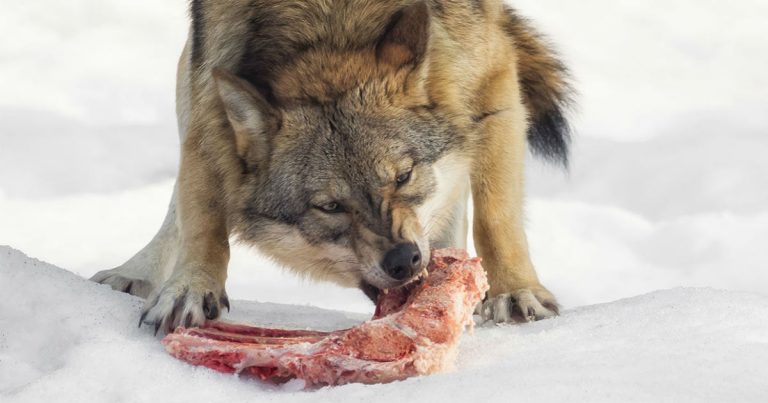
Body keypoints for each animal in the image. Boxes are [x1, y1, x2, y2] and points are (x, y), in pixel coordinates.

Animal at [91, 0, 572, 334]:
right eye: (330, 207)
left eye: (403, 176)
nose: (404, 259)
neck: (329, 25)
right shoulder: (210, 82)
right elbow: (202, 207)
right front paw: (189, 288)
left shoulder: (491, 72)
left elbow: (496, 215)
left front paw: (515, 293)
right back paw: (135, 272)